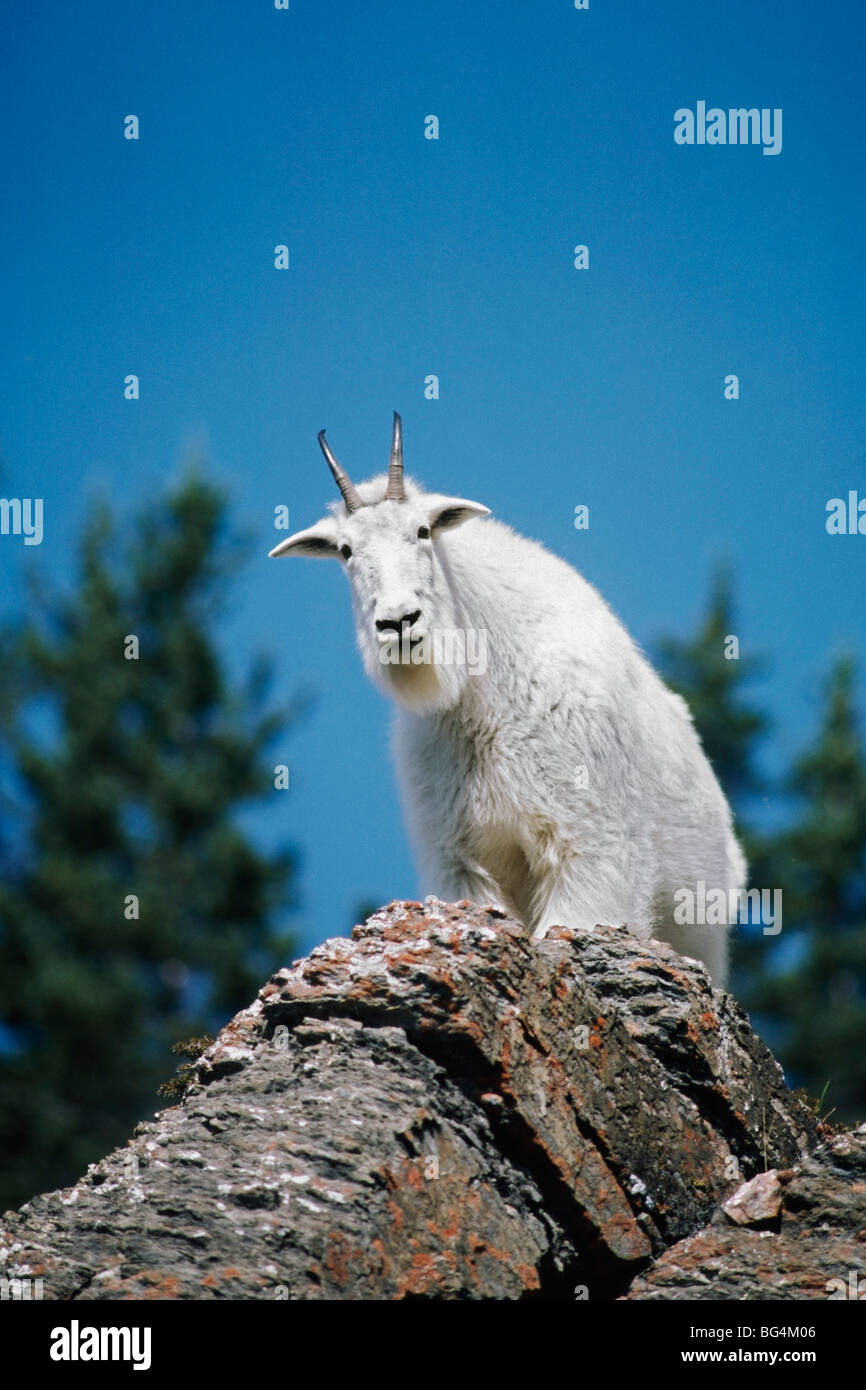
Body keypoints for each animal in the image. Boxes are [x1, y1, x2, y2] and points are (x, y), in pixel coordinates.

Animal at [270, 413, 745, 988]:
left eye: (423, 531)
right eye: (345, 551)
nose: (399, 623)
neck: (481, 694)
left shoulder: (586, 842)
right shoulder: (465, 859)